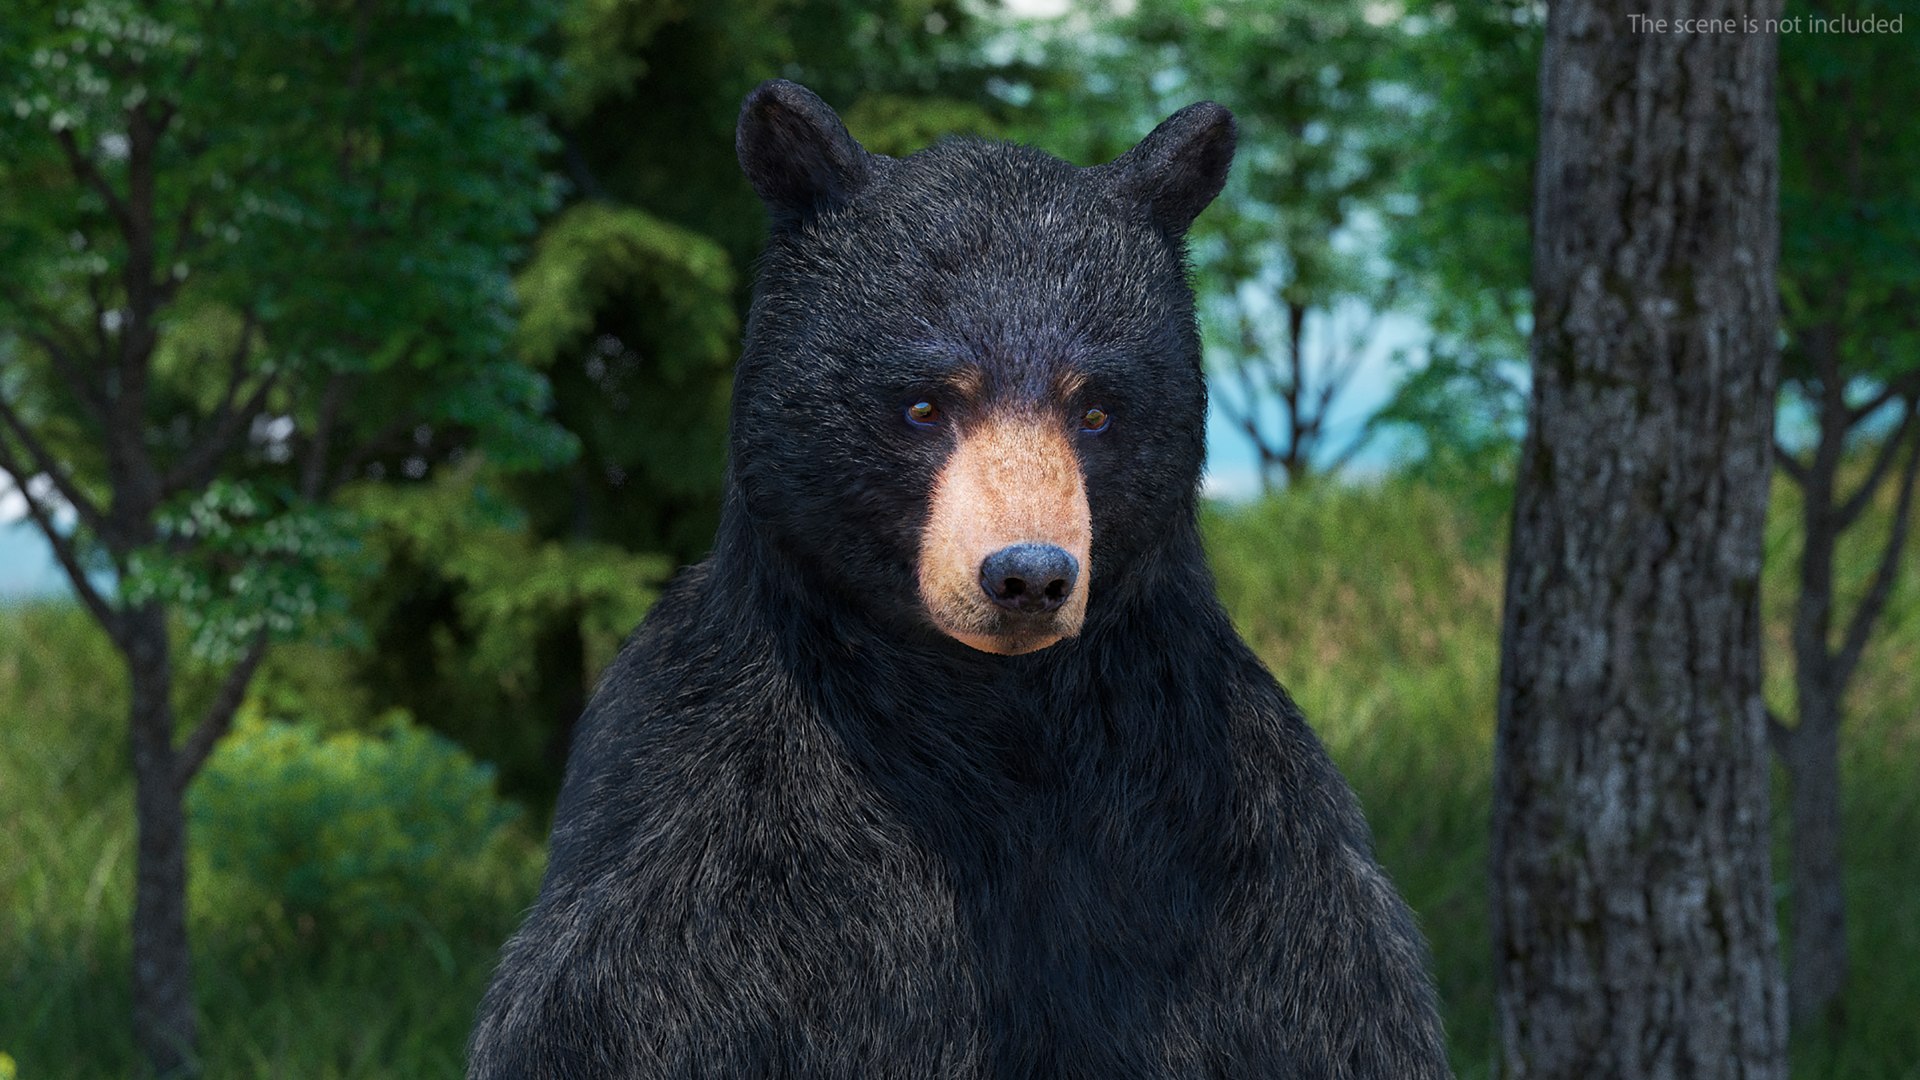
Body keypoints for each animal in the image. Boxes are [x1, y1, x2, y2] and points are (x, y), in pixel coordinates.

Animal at [468, 79, 1451, 1079]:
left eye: (1098, 408)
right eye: (923, 404)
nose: (1026, 575)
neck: (985, 714)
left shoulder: (1221, 813)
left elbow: (1328, 1000)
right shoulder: (702, 812)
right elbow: (615, 1004)